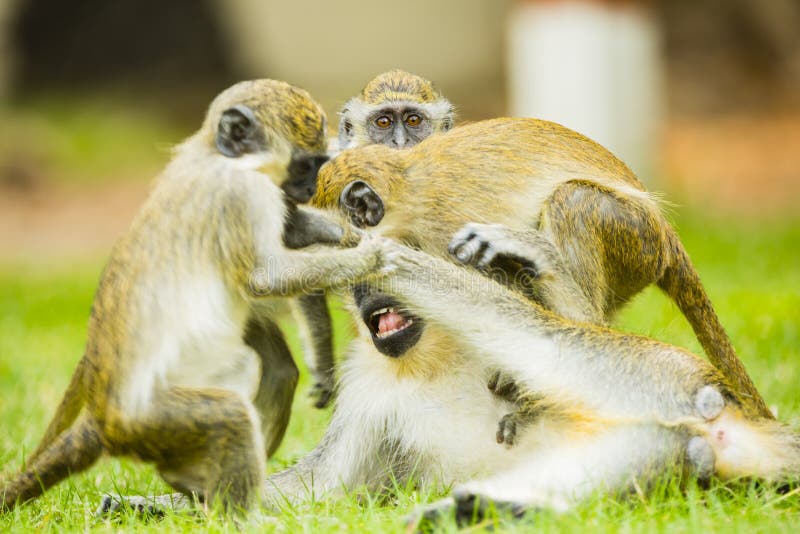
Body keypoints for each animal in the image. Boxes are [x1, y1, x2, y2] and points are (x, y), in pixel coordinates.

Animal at [0, 79, 386, 513]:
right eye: (305, 165)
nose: (306, 189)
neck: (214, 156)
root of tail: (102, 418)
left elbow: (288, 229)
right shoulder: (242, 194)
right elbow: (265, 276)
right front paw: (366, 254)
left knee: (276, 371)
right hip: (153, 420)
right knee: (231, 410)